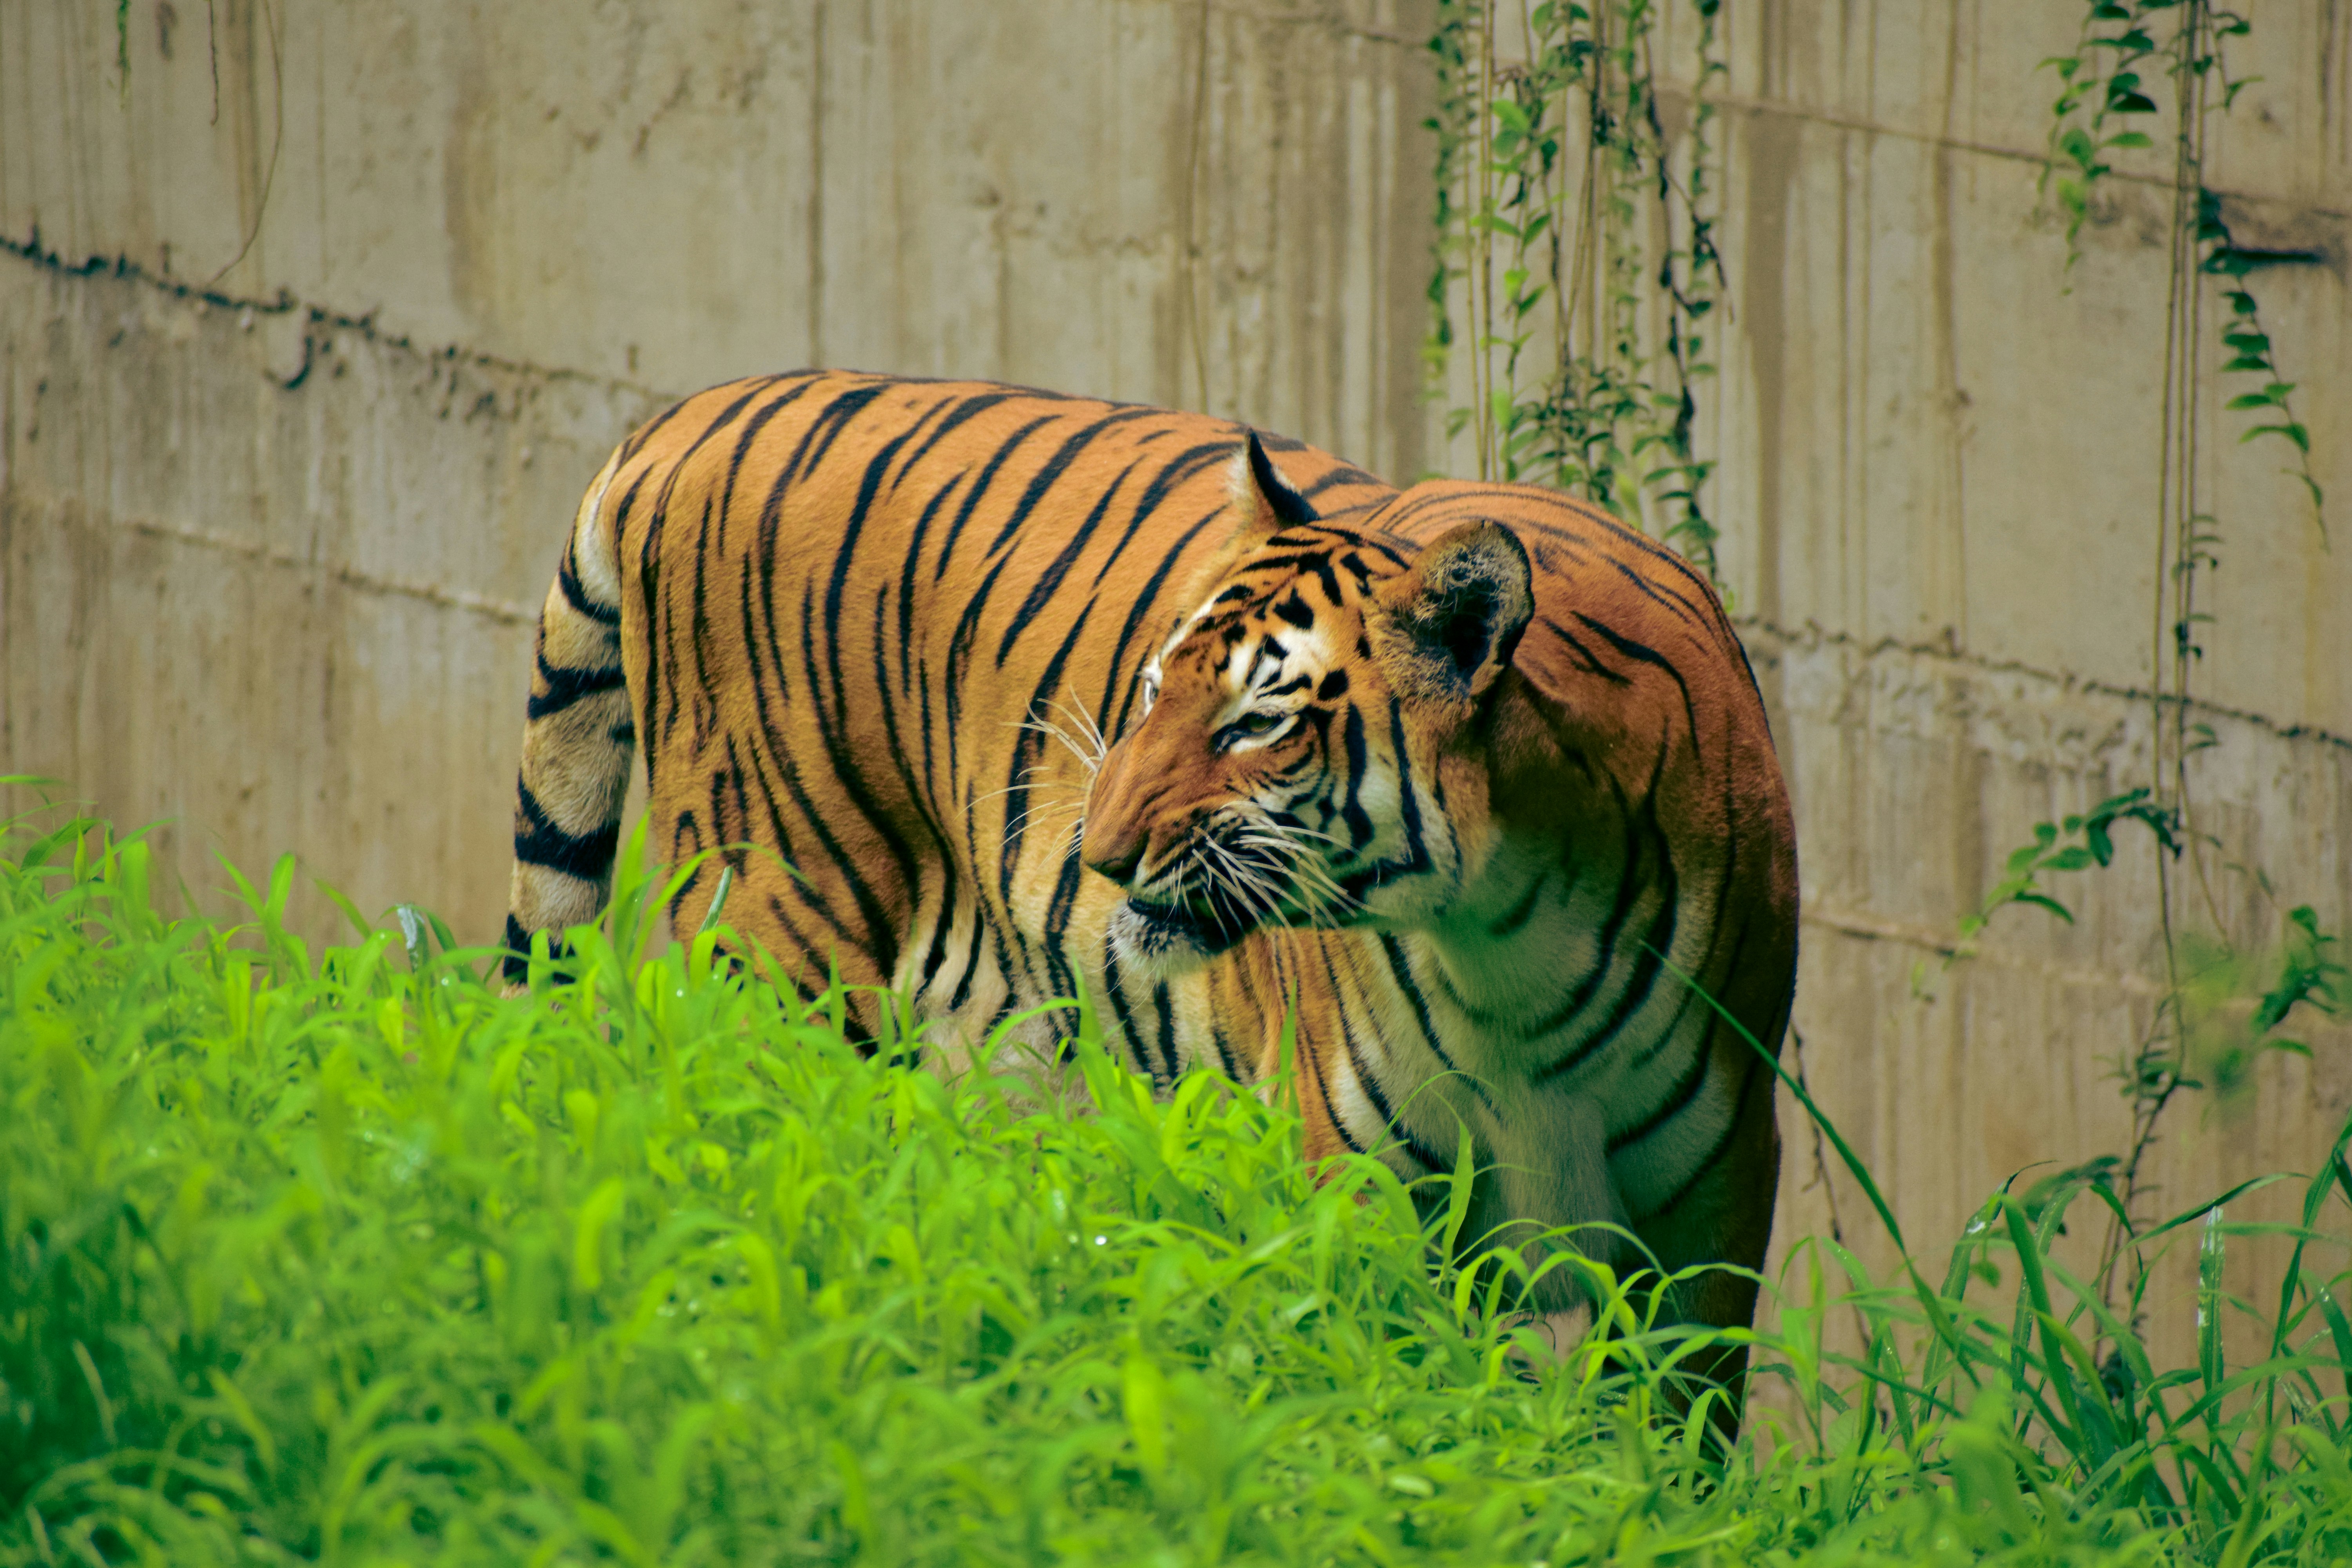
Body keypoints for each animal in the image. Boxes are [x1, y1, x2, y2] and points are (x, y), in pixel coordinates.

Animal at [504, 369, 1799, 1408]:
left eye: (1256, 726)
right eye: (1150, 690)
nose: (1105, 850)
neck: (1503, 939)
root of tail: (700, 410)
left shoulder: (1716, 1190)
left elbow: (1674, 1430)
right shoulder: (1364, 1175)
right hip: (777, 952)